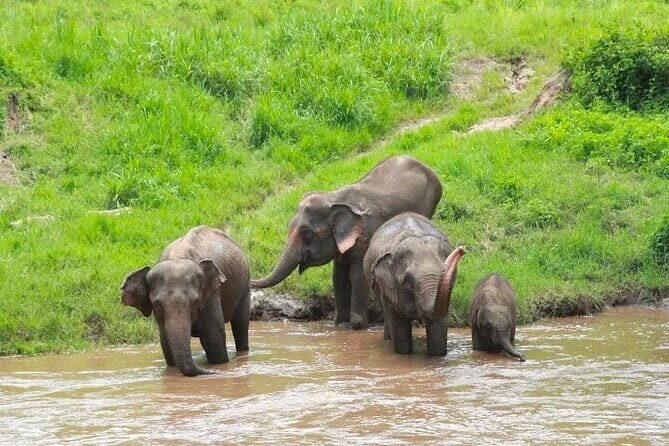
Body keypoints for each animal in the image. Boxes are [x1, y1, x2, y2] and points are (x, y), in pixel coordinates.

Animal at [121, 226, 250, 376]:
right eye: (157, 305)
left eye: (195, 302)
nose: (213, 372)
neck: (178, 256)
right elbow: (165, 342)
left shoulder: (212, 293)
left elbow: (213, 337)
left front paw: (219, 364)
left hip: (245, 282)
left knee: (240, 324)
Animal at [251, 155, 443, 330]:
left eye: (308, 233)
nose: (250, 281)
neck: (335, 199)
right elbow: (338, 277)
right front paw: (340, 324)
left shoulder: (365, 234)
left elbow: (357, 274)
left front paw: (357, 326)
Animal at [363, 213, 466, 356]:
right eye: (408, 280)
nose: (462, 249)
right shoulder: (389, 287)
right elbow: (399, 327)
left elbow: (438, 329)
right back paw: (387, 340)